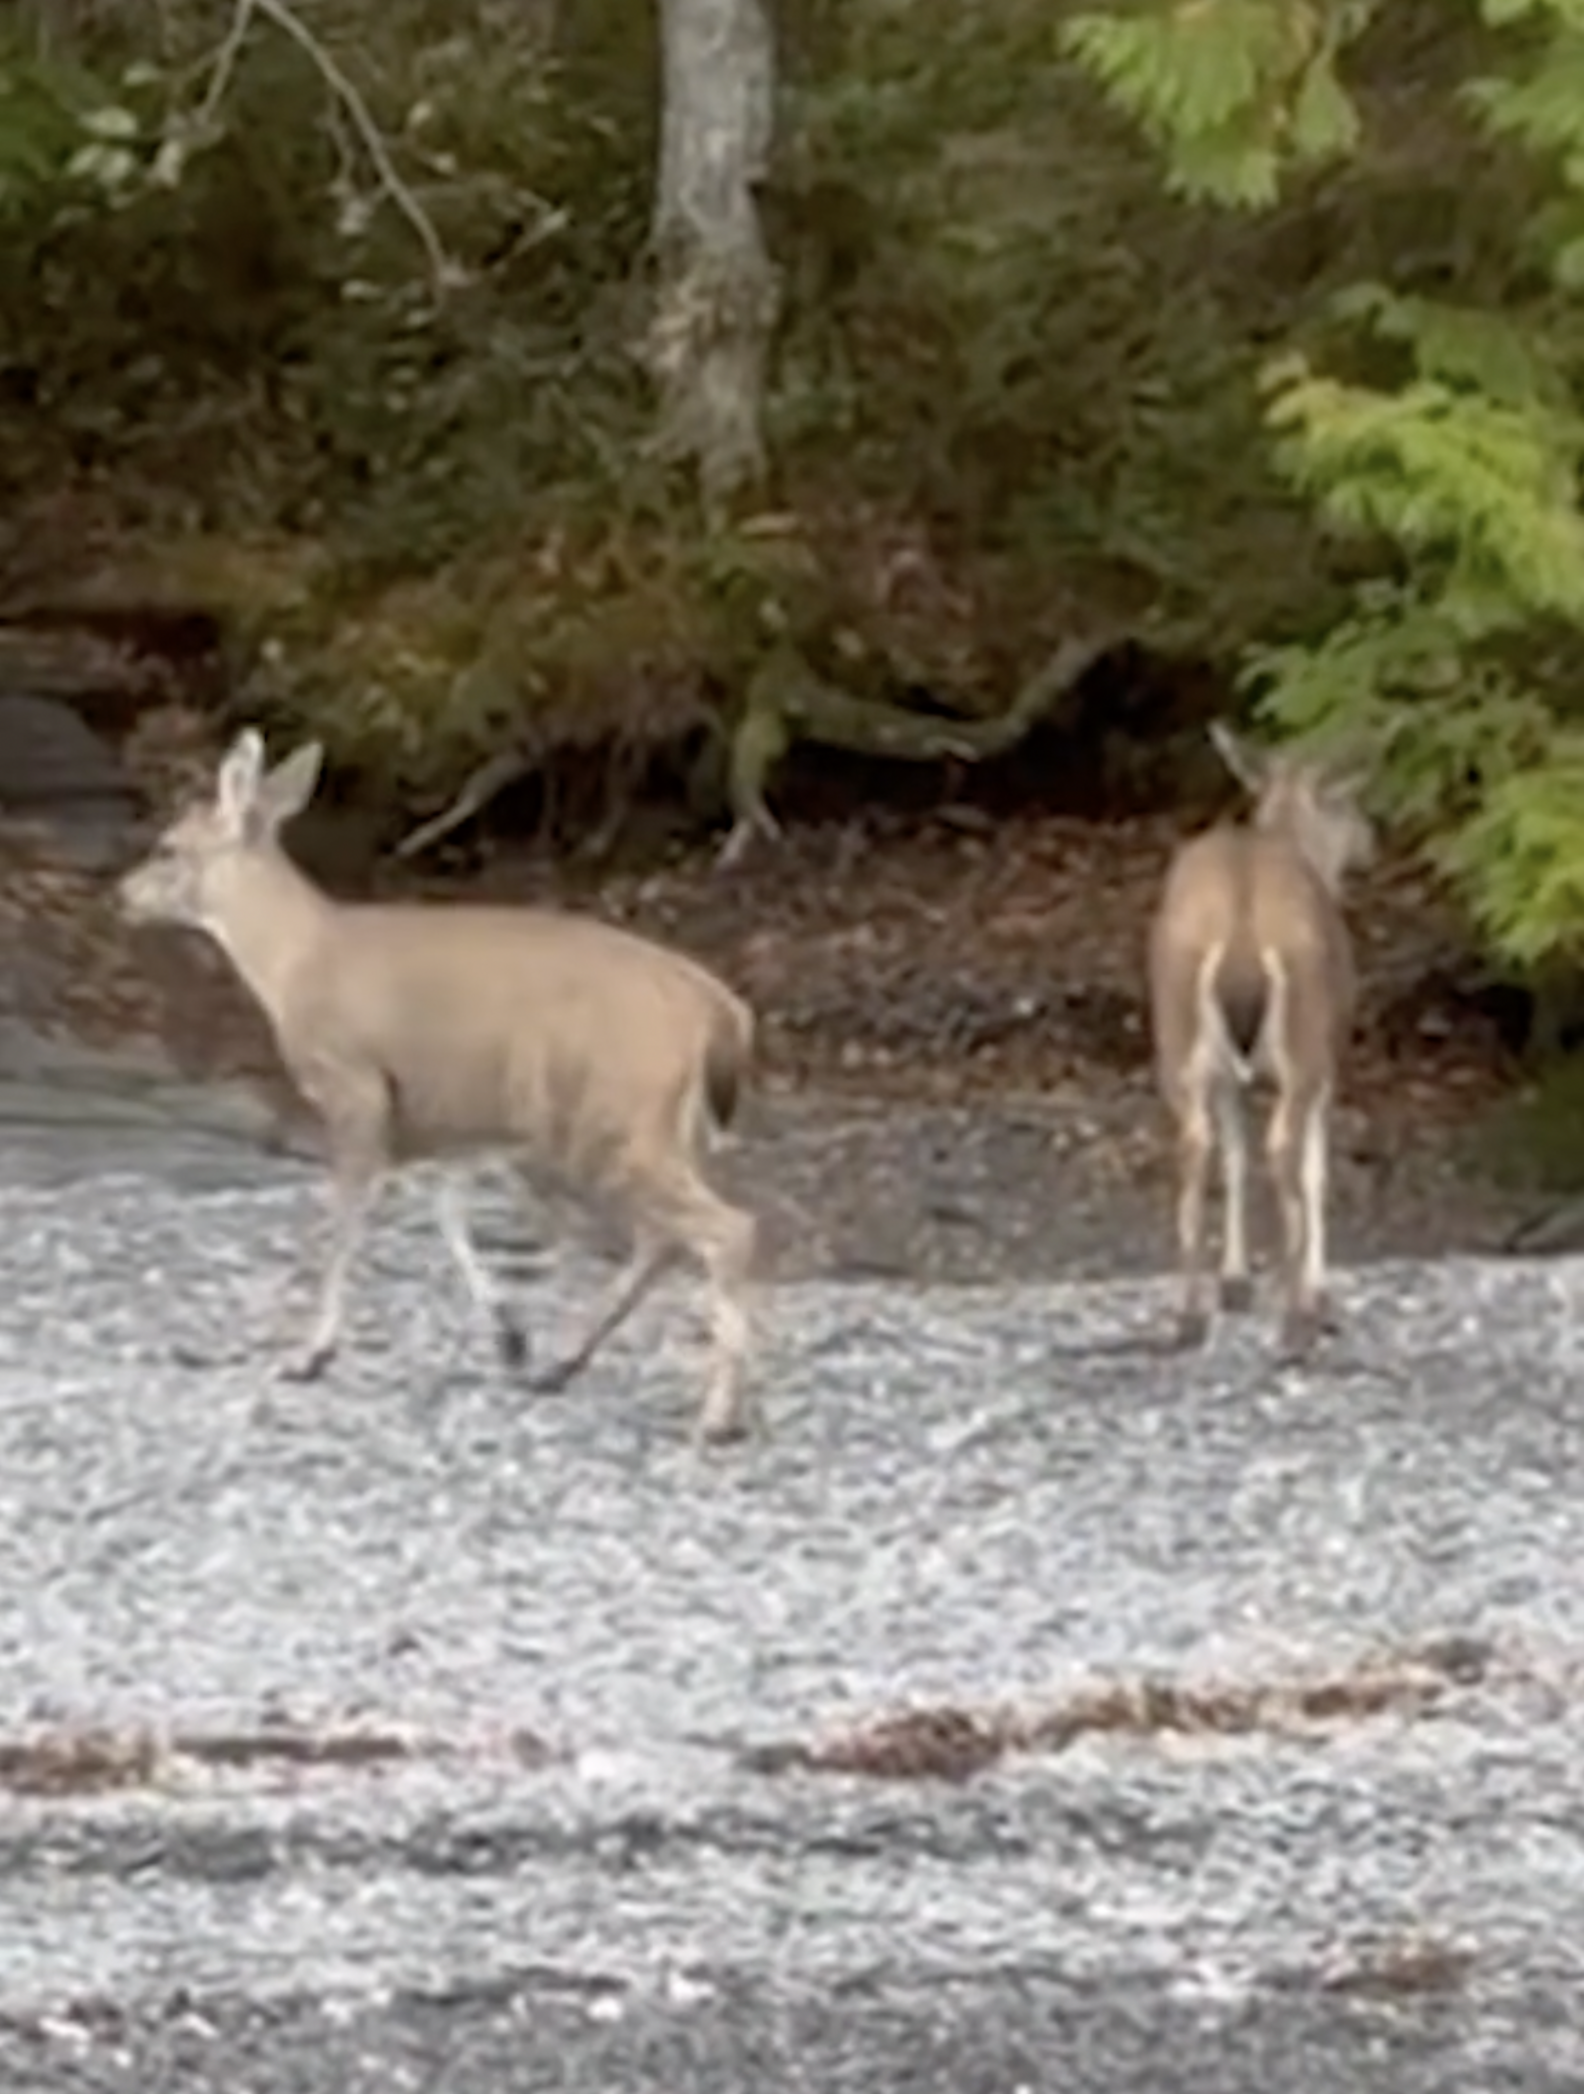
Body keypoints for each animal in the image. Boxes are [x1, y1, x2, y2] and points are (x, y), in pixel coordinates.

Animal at [116, 727, 760, 1445]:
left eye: (168, 846)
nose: (123, 894)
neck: (295, 960)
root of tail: (720, 1010)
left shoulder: (355, 1086)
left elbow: (346, 1222)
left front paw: (309, 1354)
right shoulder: (452, 1117)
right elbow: (446, 1212)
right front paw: (509, 1335)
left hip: (617, 1115)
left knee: (725, 1228)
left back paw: (717, 1416)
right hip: (657, 1127)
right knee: (665, 1238)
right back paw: (564, 1363)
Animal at [1146, 721, 1373, 1360]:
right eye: (1349, 801)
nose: (1370, 843)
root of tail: (1243, 932)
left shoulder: (1229, 1073)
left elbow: (1235, 1154)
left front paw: (1236, 1282)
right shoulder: (1330, 1056)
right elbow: (1316, 1170)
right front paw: (1315, 1292)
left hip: (1177, 1037)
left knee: (1197, 1145)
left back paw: (1190, 1316)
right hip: (1303, 1038)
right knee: (1283, 1149)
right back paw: (1298, 1320)